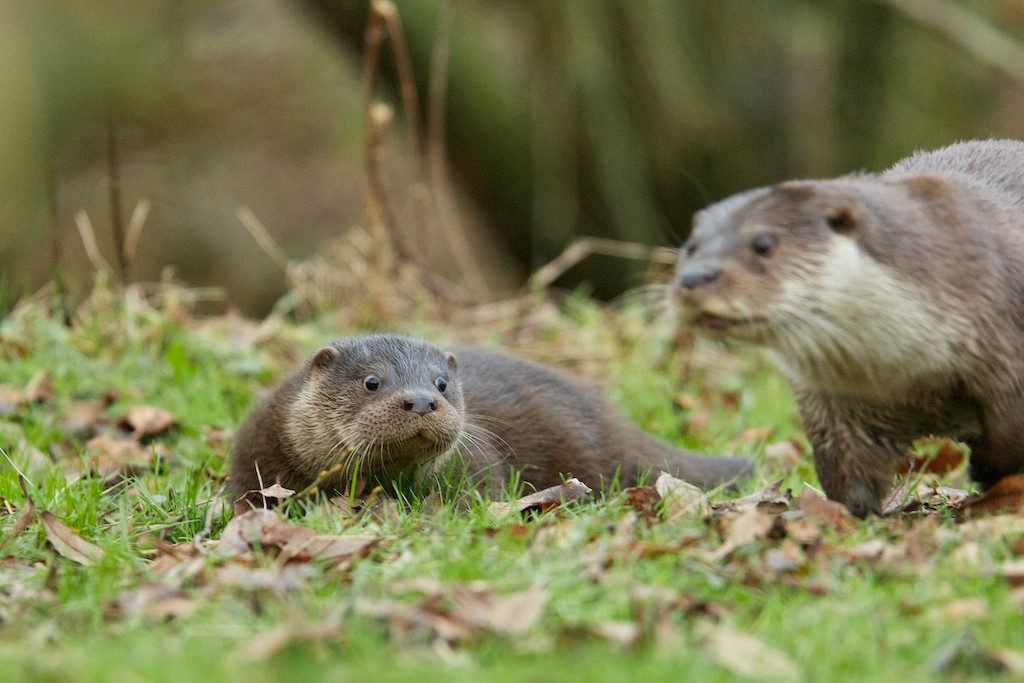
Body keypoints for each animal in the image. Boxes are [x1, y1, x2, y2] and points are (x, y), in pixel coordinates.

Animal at [672, 139, 1024, 517]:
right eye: (691, 247)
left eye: (763, 244)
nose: (694, 278)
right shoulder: (831, 409)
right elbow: (844, 470)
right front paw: (850, 517)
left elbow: (1008, 438)